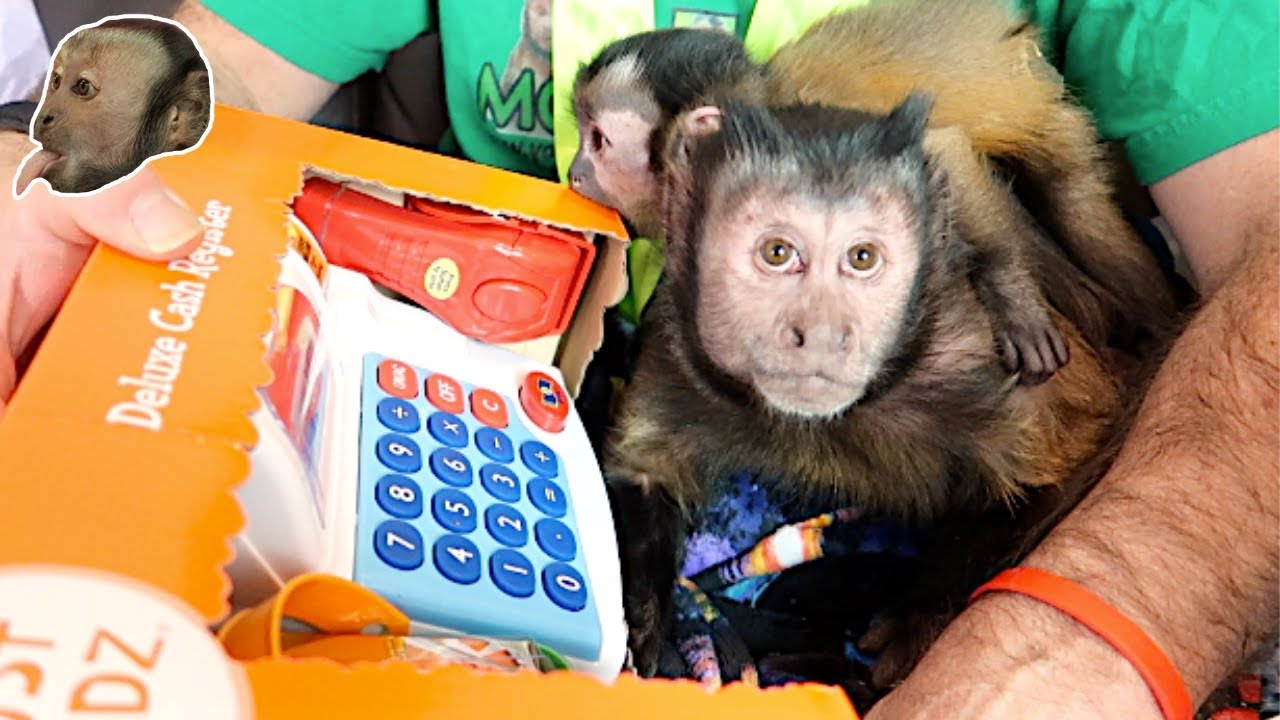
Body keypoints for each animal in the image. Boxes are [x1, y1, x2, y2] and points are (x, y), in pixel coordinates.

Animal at [568, 0, 1182, 384]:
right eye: (582, 134)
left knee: (1072, 200)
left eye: (598, 140)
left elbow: (944, 151)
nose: (573, 170)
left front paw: (1010, 295)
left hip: (1049, 111)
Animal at [602, 93, 1150, 704]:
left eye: (862, 257)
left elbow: (1074, 460)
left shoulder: (971, 360)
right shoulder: (675, 354)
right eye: (777, 252)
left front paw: (918, 619)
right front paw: (639, 625)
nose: (821, 332)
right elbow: (643, 474)